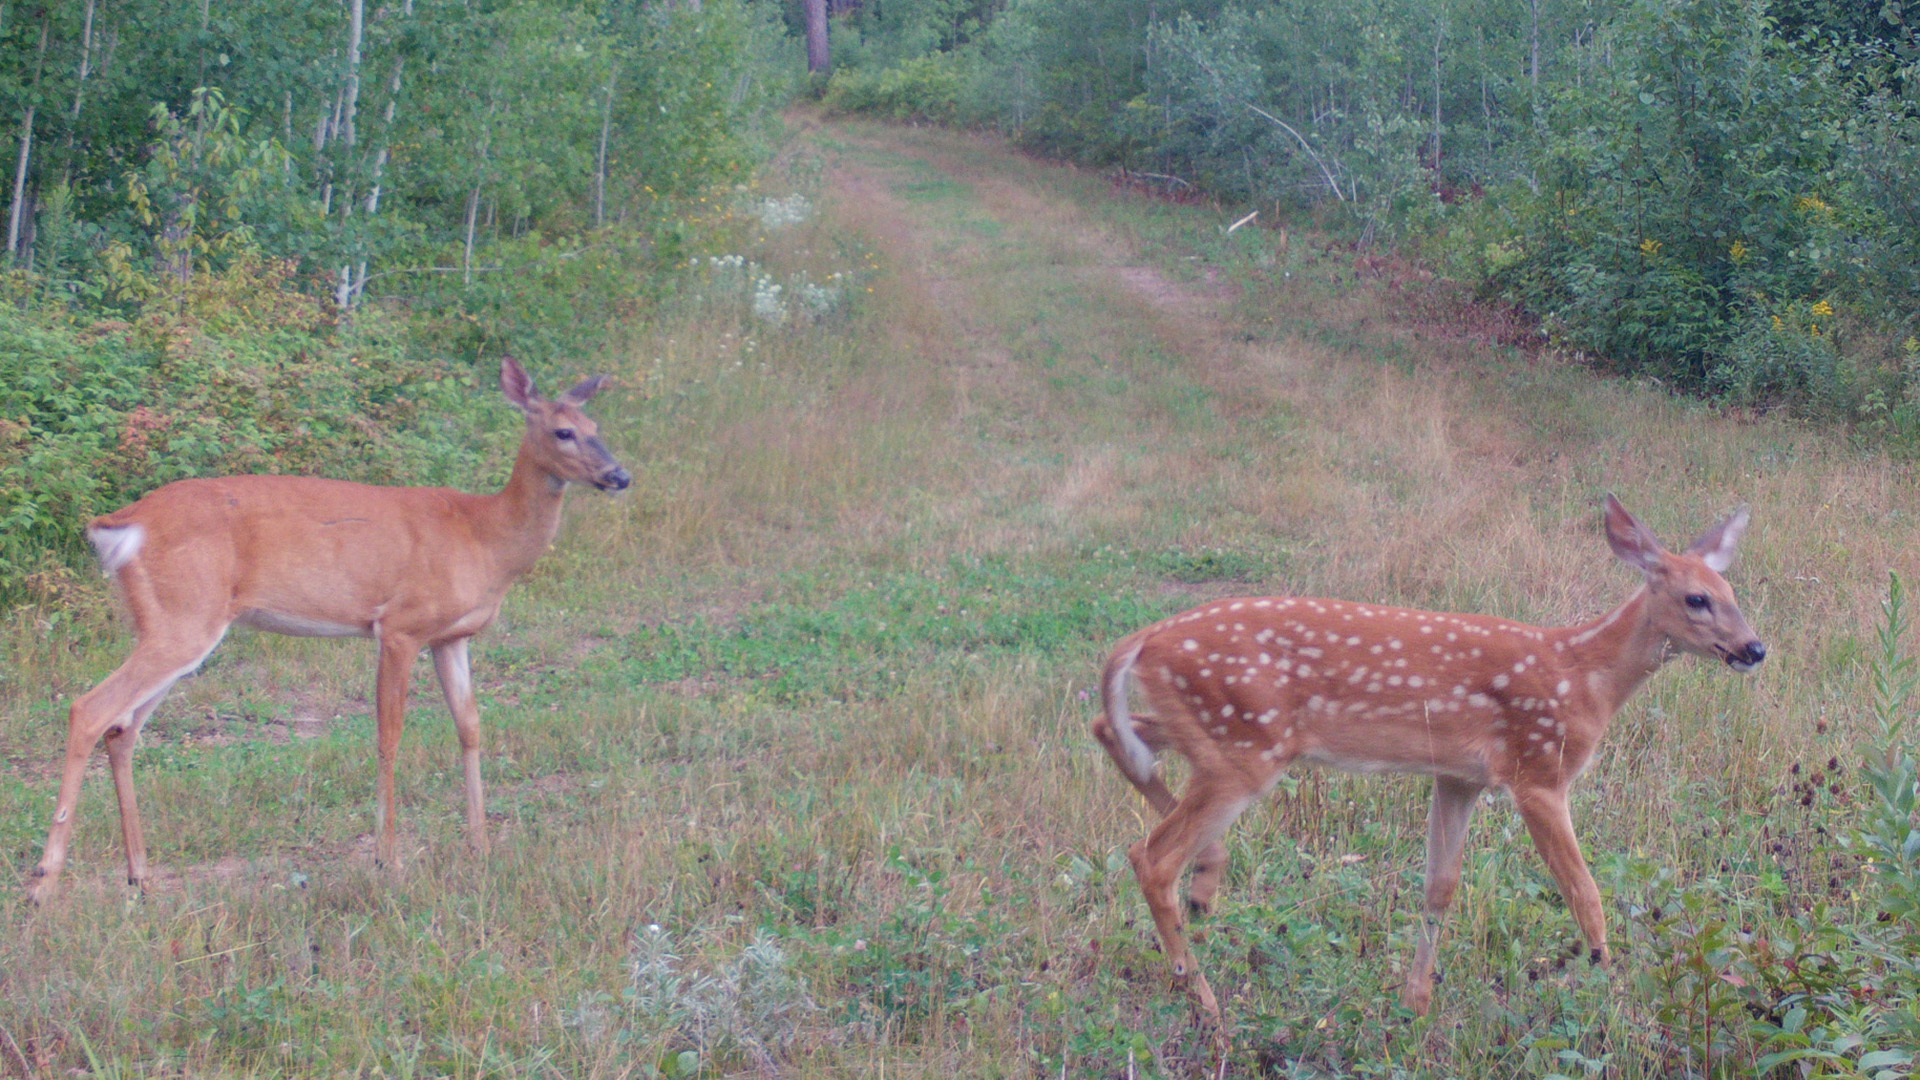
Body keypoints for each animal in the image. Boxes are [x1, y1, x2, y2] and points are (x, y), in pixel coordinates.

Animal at [27, 356, 630, 903]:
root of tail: (122, 522)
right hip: (184, 618)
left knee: (123, 728)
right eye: (564, 431)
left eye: (598, 427)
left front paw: (480, 847)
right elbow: (390, 734)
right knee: (89, 709)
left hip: (175, 626)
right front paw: (388, 859)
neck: (485, 538)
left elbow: (470, 727)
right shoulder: (400, 625)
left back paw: (141, 877)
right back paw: (44, 883)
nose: (620, 476)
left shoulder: (452, 636)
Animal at [1093, 495, 1765, 1022]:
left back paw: (1208, 880)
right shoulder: (1537, 770)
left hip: (1215, 735)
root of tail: (1143, 640)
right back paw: (1205, 1000)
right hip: (1245, 748)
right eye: (1697, 598)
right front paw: (1614, 989)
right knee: (1151, 855)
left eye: (1734, 592)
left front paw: (1416, 1002)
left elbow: (1440, 885)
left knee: (1112, 732)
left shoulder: (1458, 776)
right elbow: (1584, 892)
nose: (1755, 648)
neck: (1583, 676)